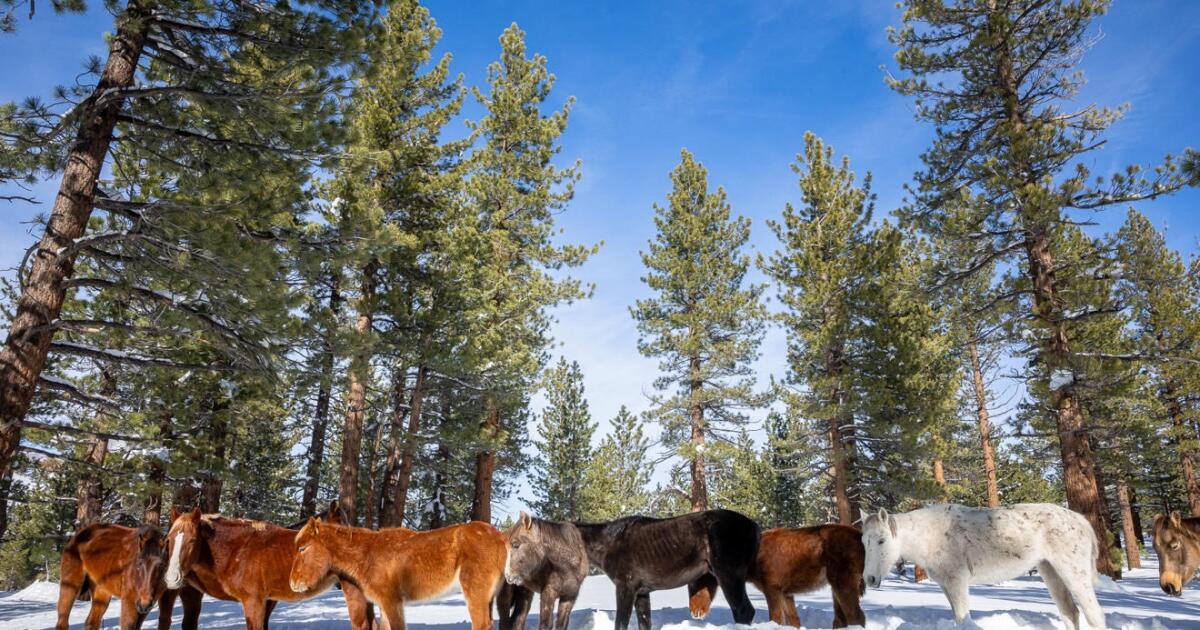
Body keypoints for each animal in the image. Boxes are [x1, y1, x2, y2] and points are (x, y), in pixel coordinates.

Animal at [162, 505, 376, 630]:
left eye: (192, 540)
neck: (239, 549)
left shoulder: (254, 602)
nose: (172, 577)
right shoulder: (265, 601)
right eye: (168, 540)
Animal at [289, 518, 511, 630]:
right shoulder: (383, 604)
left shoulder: (392, 601)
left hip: (475, 593)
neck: (366, 556)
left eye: (302, 548)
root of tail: (501, 537)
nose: (293, 583)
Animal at [573, 509, 759, 630]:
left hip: (729, 577)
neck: (609, 543)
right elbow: (644, 622)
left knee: (743, 611)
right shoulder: (641, 592)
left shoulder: (625, 587)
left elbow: (621, 622)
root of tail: (755, 527)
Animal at [687, 524, 865, 628]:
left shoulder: (772, 588)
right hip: (836, 584)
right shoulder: (786, 592)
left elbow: (776, 618)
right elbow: (793, 620)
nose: (695, 611)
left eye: (695, 581)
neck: (750, 564)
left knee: (856, 617)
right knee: (841, 619)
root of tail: (860, 537)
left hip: (843, 581)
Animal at [862, 504, 1105, 630]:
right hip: (1051, 571)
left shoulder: (957, 583)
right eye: (864, 541)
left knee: (1094, 615)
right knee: (1070, 613)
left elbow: (963, 617)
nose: (869, 579)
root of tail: (1080, 520)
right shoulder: (947, 586)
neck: (931, 536)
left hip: (1073, 573)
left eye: (881, 540)